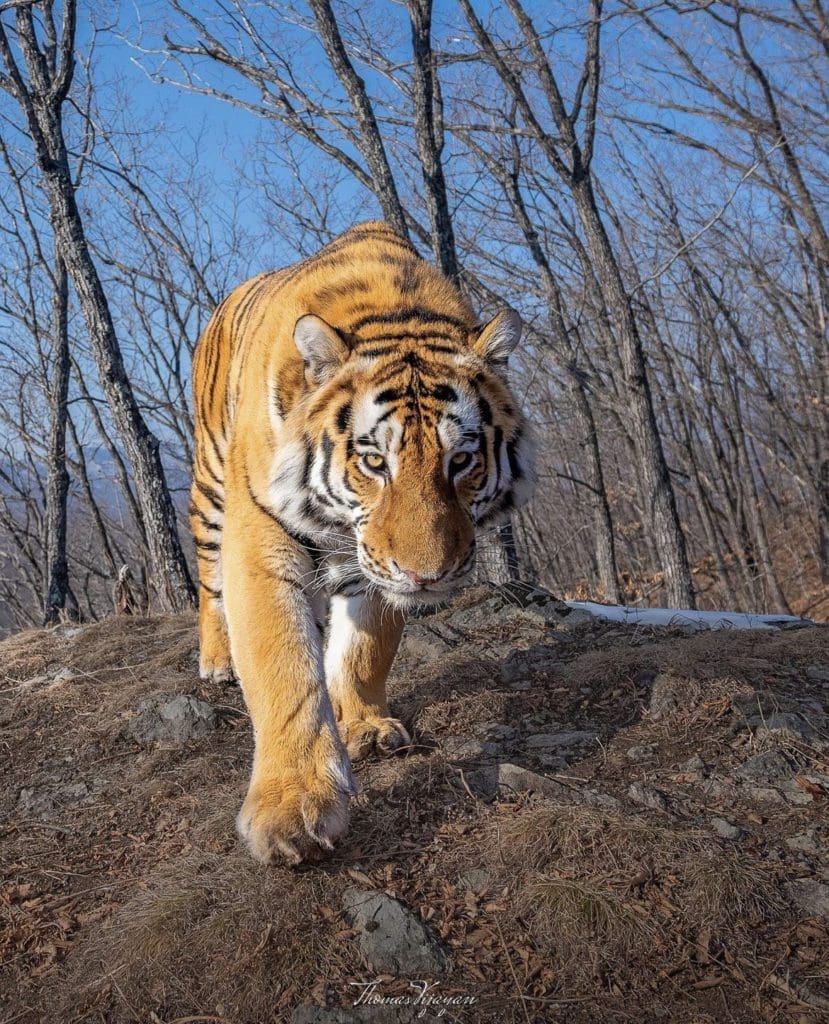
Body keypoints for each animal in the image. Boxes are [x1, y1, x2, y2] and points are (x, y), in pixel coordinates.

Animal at [189, 222, 535, 864]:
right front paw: (293, 807)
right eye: (375, 462)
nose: (429, 576)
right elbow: (282, 670)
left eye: (461, 461)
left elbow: (364, 648)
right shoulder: (260, 540)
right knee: (207, 580)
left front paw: (364, 728)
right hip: (211, 486)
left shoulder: (374, 564)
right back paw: (218, 660)